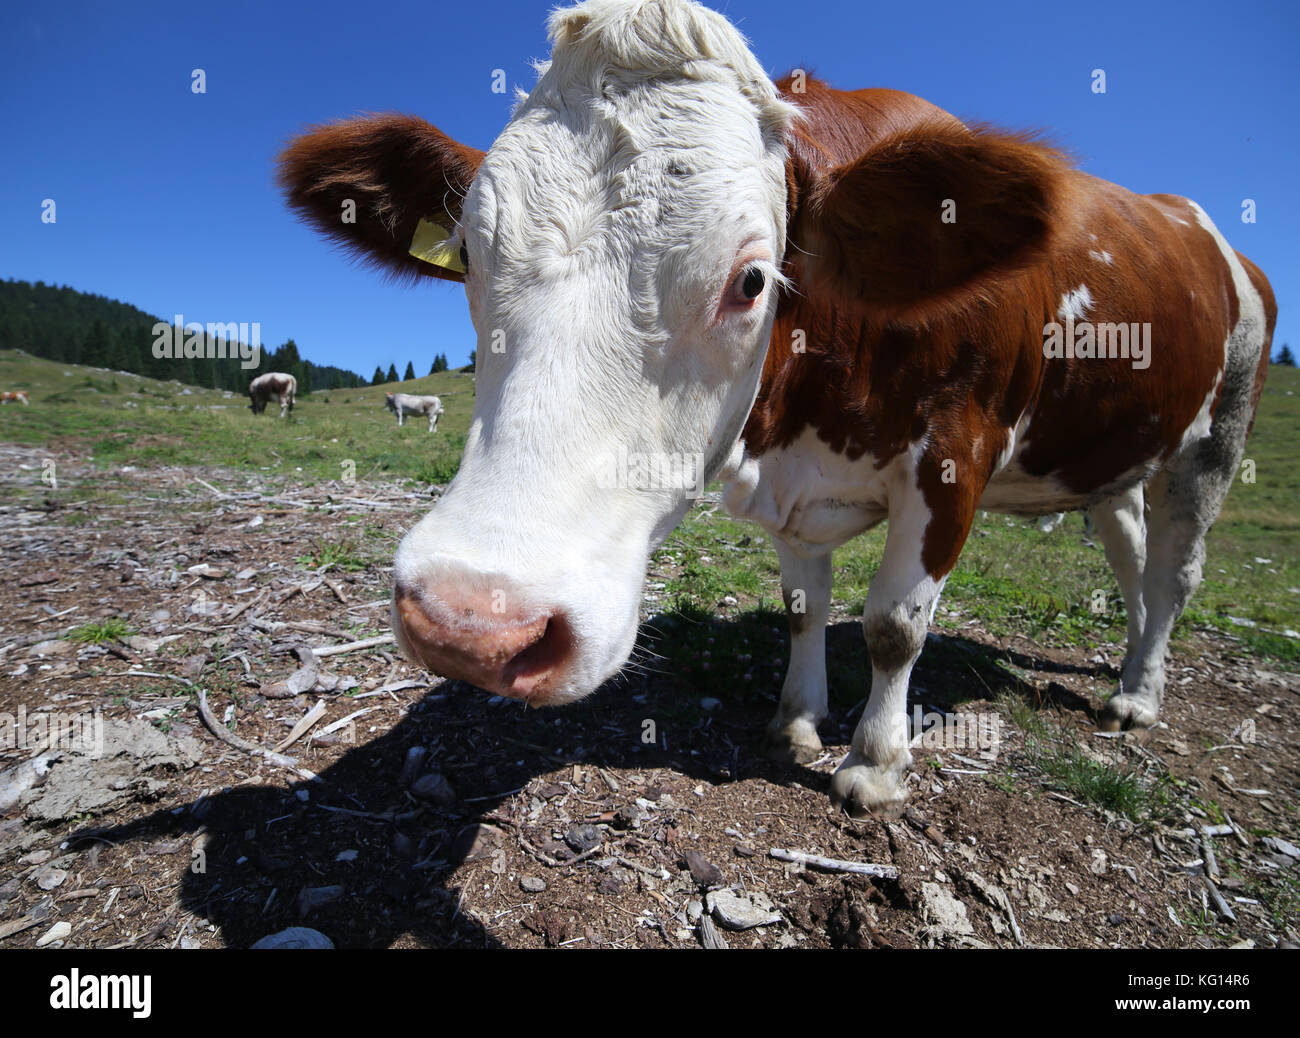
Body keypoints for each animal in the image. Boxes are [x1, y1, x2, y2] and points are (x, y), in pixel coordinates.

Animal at [278, 0, 1276, 818]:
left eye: (752, 280)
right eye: (472, 258)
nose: (470, 623)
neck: (796, 414)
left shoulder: (956, 455)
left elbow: (892, 624)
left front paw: (874, 763)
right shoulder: (796, 489)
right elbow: (803, 606)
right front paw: (796, 720)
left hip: (1216, 440)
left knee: (1177, 571)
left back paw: (1141, 694)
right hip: (1115, 456)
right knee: (1134, 558)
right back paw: (1130, 659)